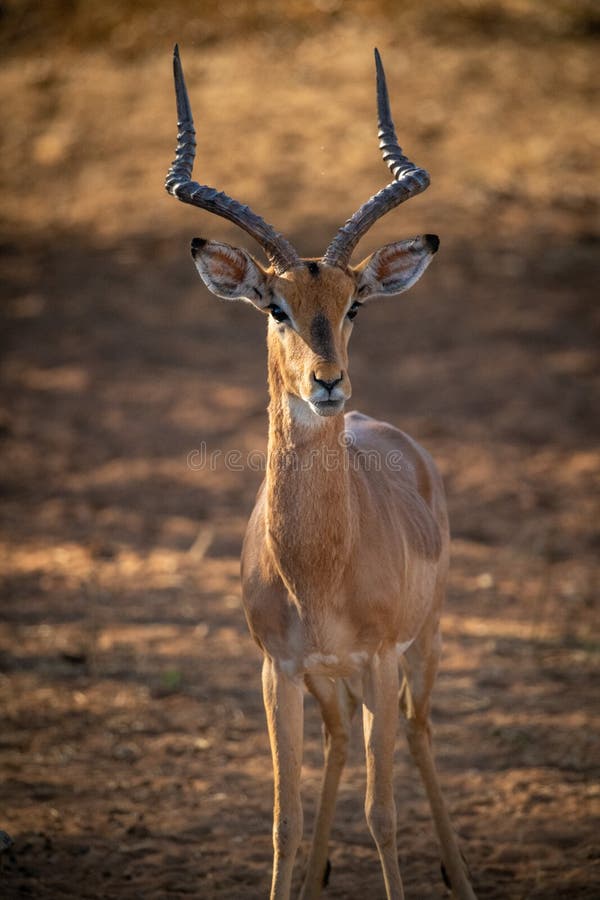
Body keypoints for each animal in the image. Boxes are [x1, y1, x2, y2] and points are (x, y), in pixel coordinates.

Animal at [166, 45, 477, 900]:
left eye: (353, 305)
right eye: (274, 306)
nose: (328, 384)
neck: (319, 566)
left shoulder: (377, 659)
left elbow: (382, 814)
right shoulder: (279, 671)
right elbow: (284, 820)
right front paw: (297, 870)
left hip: (423, 645)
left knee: (420, 732)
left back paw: (460, 876)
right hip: (327, 683)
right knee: (340, 743)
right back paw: (317, 879)